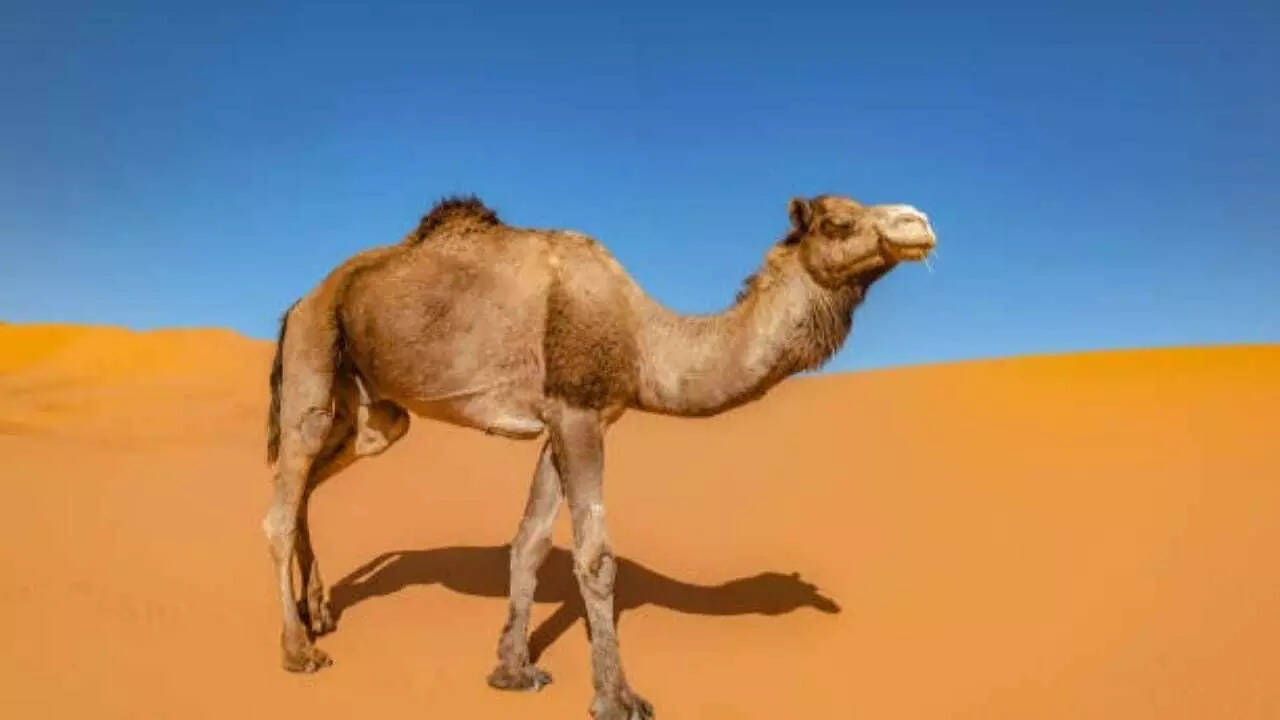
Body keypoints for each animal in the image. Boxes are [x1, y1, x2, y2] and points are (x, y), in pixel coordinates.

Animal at [263, 193, 936, 720]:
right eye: (837, 223)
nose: (919, 221)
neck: (643, 342)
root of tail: (298, 300)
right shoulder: (579, 413)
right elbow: (595, 556)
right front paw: (618, 698)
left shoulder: (565, 420)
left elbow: (531, 541)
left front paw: (512, 670)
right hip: (313, 353)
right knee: (281, 504)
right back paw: (299, 651)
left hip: (375, 414)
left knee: (311, 483)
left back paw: (319, 612)